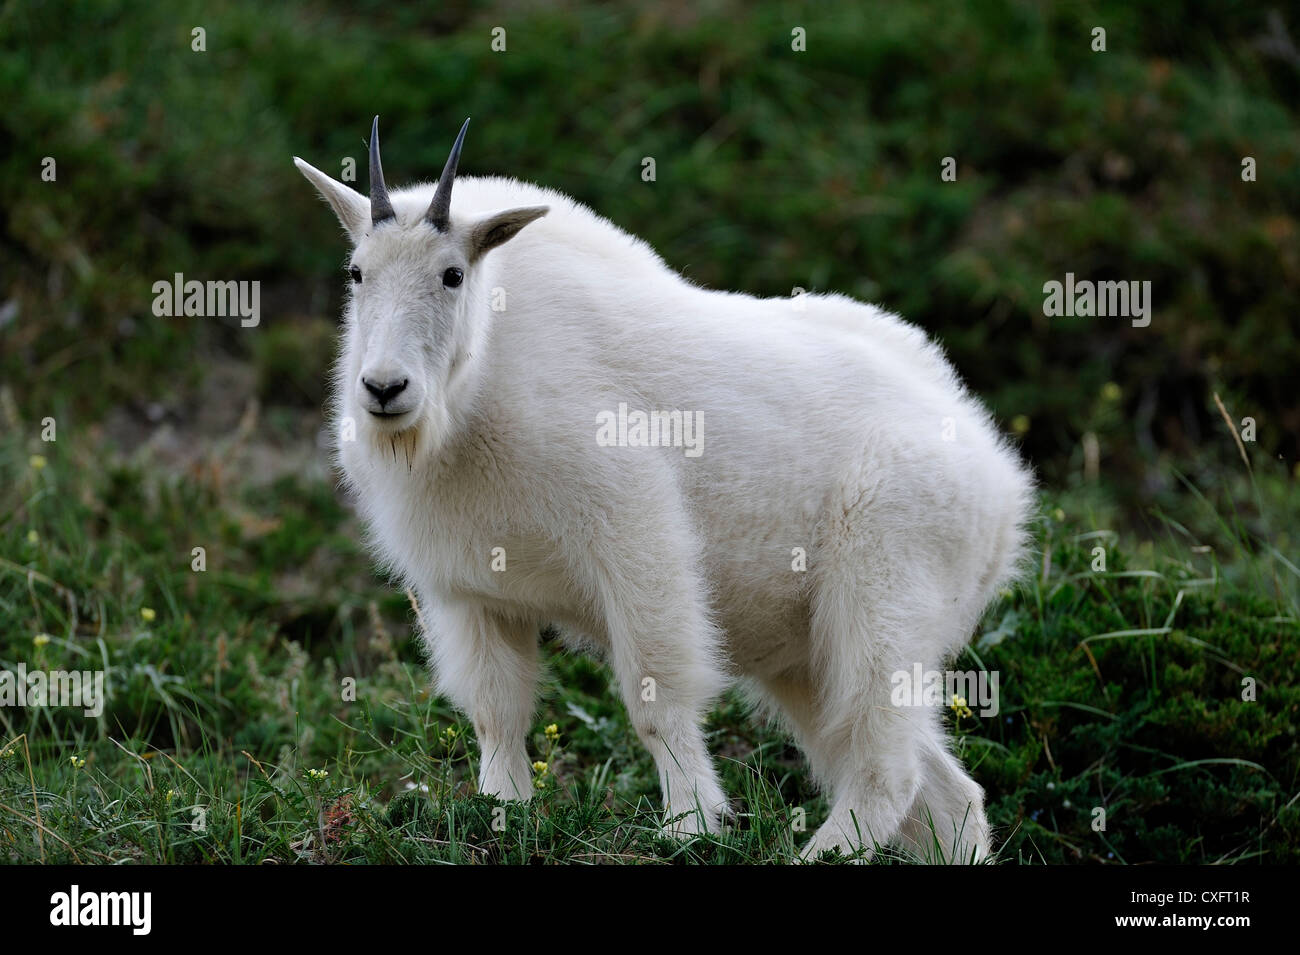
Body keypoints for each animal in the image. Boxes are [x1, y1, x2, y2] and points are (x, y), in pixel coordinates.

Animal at [293, 117, 1035, 861]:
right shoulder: (472, 592)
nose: (384, 388)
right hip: (811, 656)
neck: (479, 384)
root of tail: (1004, 488)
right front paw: (502, 814)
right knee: (946, 794)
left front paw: (690, 826)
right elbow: (495, 711)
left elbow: (658, 700)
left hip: (887, 595)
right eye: (357, 273)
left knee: (887, 766)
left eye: (451, 275)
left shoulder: (634, 537)